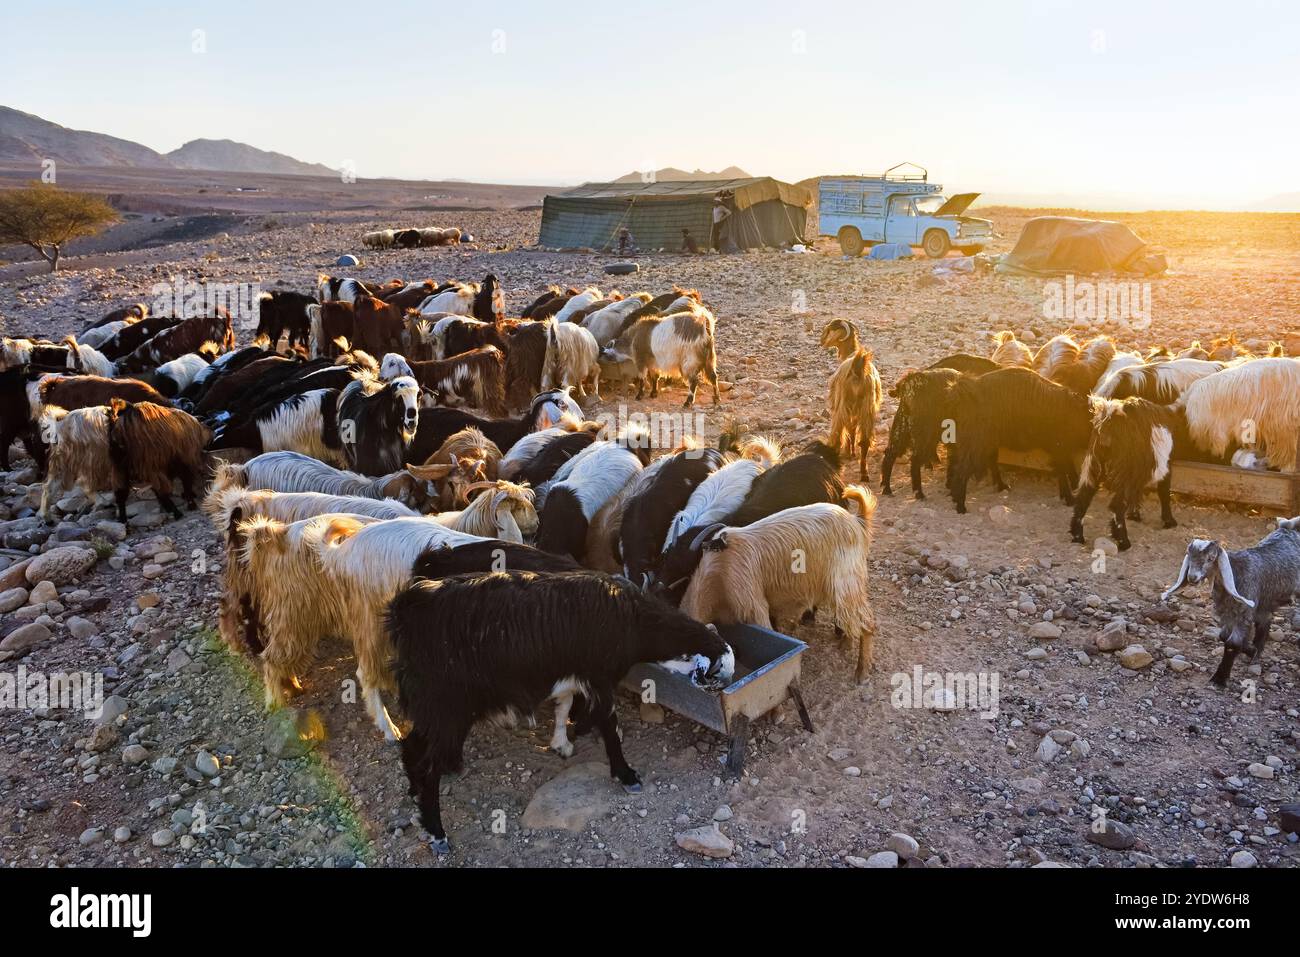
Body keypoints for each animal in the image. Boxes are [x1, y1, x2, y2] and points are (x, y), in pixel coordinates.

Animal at [387, 569, 734, 851]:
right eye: (717, 675)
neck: (634, 617)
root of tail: (407, 607)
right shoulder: (599, 676)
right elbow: (608, 723)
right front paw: (625, 773)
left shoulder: (574, 672)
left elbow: (566, 703)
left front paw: (563, 743)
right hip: (445, 706)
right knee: (427, 762)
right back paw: (437, 832)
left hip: (436, 708)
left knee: (412, 746)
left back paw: (415, 792)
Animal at [1162, 520, 1300, 686]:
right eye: (1190, 555)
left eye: (1211, 558)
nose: (1192, 577)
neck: (1236, 573)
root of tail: (1289, 528)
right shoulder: (1227, 612)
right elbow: (1223, 636)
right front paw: (1250, 649)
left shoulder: (1244, 611)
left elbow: (1232, 643)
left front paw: (1220, 678)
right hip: (1265, 600)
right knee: (1265, 620)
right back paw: (1257, 651)